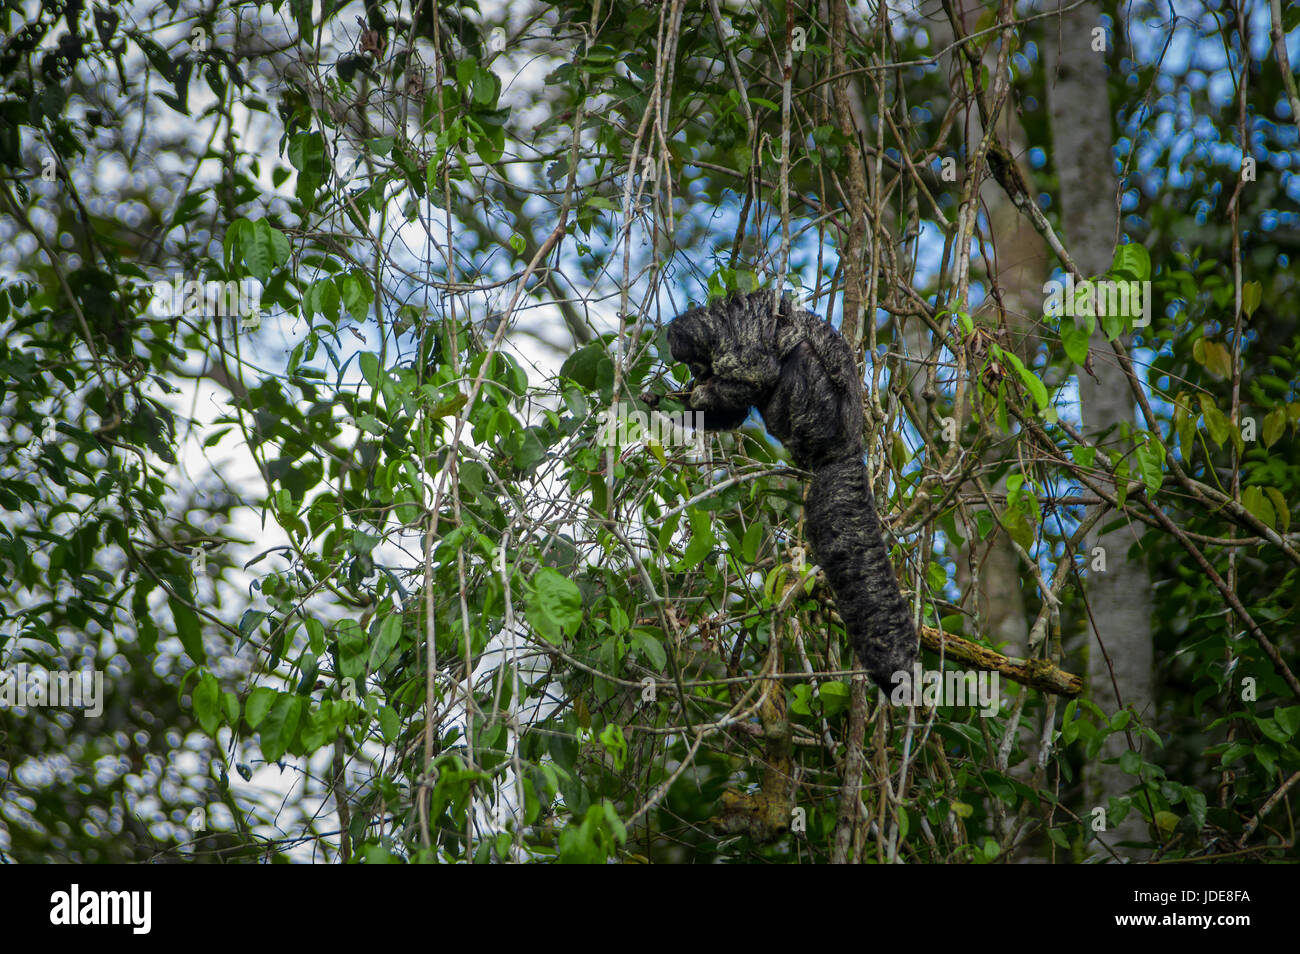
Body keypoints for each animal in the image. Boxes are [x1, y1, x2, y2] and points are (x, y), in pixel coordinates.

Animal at [667, 290, 918, 691]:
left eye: (694, 362)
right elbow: (734, 411)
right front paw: (673, 402)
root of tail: (848, 447)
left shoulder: (744, 336)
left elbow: (758, 373)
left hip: (815, 405)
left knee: (795, 358)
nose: (698, 375)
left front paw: (699, 396)